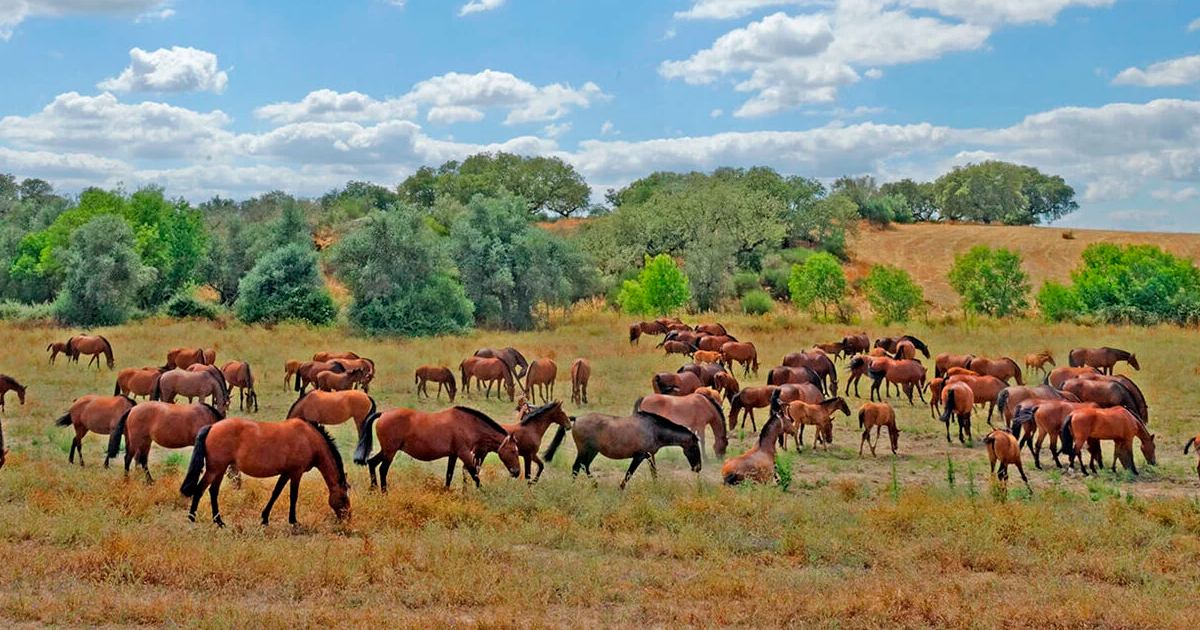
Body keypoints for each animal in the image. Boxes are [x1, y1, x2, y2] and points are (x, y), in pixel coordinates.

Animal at [180, 418, 350, 527]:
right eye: (343, 498)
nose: (347, 519)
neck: (309, 438)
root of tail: (212, 427)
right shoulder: (296, 472)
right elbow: (293, 496)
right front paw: (293, 520)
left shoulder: (286, 473)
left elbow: (275, 493)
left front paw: (265, 518)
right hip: (215, 469)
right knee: (200, 489)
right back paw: (192, 518)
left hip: (220, 469)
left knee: (213, 491)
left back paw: (219, 521)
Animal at [355, 406, 520, 490]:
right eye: (514, 451)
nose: (517, 472)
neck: (468, 424)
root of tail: (384, 414)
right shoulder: (464, 453)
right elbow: (474, 474)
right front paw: (482, 492)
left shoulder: (453, 455)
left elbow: (449, 475)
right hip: (390, 451)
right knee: (383, 469)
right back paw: (384, 492)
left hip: (386, 450)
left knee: (372, 463)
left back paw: (373, 489)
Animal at [544, 409, 701, 489]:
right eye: (695, 447)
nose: (698, 468)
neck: (654, 429)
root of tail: (577, 418)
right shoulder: (639, 457)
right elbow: (629, 474)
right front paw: (620, 488)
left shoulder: (650, 456)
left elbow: (654, 473)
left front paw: (657, 487)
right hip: (584, 450)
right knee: (577, 467)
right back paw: (574, 487)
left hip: (592, 451)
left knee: (584, 466)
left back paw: (594, 484)